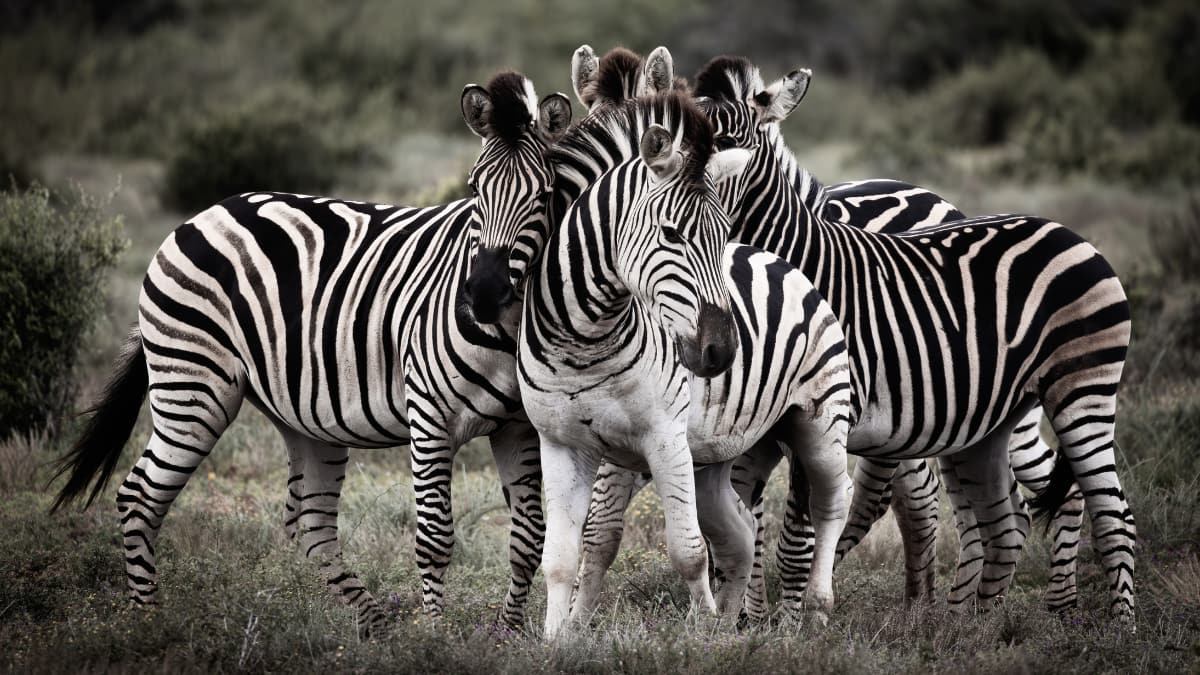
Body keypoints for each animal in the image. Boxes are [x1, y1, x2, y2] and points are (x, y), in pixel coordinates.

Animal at [49, 71, 573, 634]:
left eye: (544, 194)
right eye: (475, 188)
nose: (482, 294)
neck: (506, 331)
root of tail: (203, 214)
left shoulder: (517, 428)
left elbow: (528, 538)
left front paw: (507, 632)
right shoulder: (430, 418)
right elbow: (434, 537)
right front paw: (434, 636)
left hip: (304, 416)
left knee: (310, 525)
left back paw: (376, 627)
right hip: (192, 385)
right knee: (141, 496)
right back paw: (147, 618)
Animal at [514, 89, 855, 639]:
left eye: (722, 234)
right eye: (670, 234)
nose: (721, 351)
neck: (583, 345)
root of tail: (774, 257)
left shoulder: (663, 436)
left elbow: (689, 552)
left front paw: (698, 635)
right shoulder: (562, 443)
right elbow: (561, 558)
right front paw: (557, 639)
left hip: (820, 420)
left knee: (832, 500)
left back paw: (817, 610)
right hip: (712, 456)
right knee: (740, 531)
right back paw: (732, 626)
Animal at [686, 57, 1134, 622]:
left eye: (726, 143)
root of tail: (1067, 232)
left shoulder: (822, 416)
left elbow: (795, 534)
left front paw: (791, 623)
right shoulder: (752, 426)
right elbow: (733, 524)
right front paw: (738, 620)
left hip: (1083, 389)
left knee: (1110, 508)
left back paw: (1112, 625)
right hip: (989, 419)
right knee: (1008, 520)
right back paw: (970, 624)